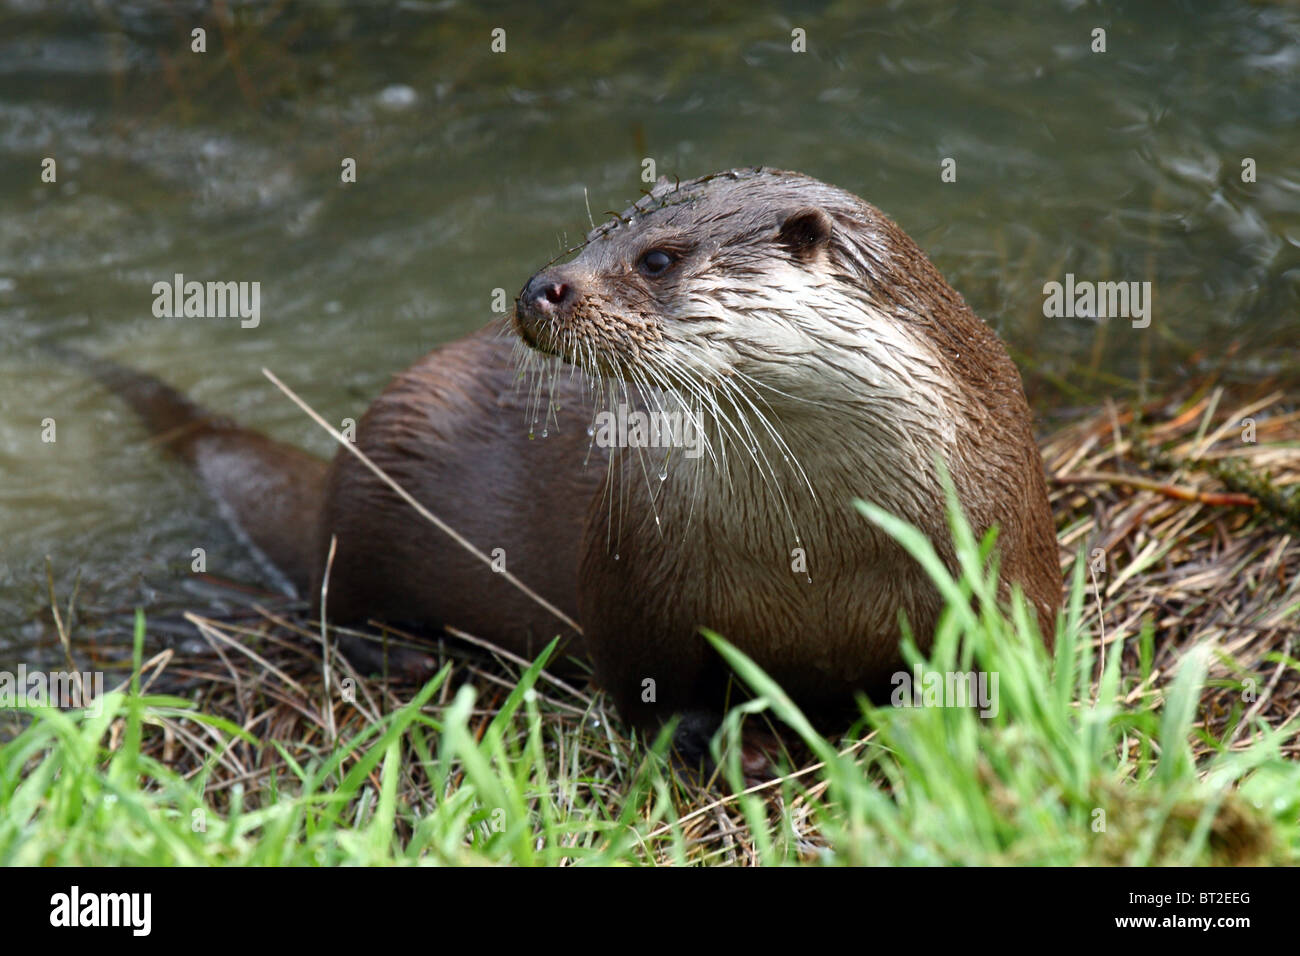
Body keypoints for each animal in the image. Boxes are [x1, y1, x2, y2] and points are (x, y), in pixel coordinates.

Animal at [87, 167, 1060, 736]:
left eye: (658, 259)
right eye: (593, 237)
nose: (537, 288)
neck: (818, 552)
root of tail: (339, 465)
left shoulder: (1007, 542)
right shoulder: (638, 573)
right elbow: (648, 684)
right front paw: (720, 740)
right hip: (384, 478)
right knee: (332, 602)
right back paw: (406, 655)